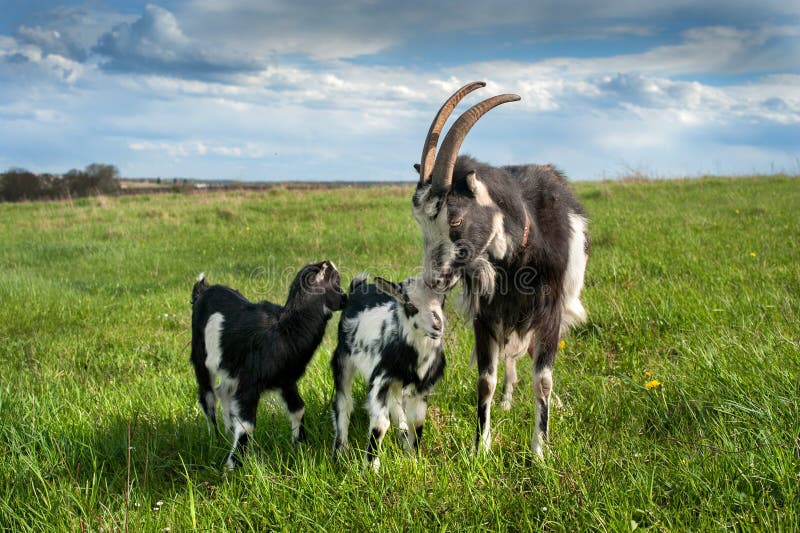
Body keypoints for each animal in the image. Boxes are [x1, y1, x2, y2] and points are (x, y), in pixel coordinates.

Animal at [190, 261, 346, 468]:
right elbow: (247, 425)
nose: (346, 298)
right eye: (337, 281)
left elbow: (298, 409)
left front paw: (300, 445)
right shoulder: (250, 383)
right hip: (201, 359)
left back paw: (227, 432)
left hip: (231, 368)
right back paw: (214, 439)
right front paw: (234, 463)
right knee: (207, 397)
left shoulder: (286, 380)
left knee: (223, 391)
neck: (285, 329)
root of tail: (203, 290)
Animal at [330, 275, 445, 470]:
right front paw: (371, 468)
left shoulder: (422, 387)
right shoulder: (381, 380)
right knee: (343, 403)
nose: (437, 326)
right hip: (343, 359)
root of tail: (358, 286)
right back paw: (341, 451)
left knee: (397, 409)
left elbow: (417, 422)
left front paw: (413, 461)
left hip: (396, 384)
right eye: (410, 304)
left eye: (442, 299)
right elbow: (380, 424)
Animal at [411, 81, 588, 458]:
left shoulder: (550, 309)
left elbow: (543, 379)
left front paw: (540, 451)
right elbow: (485, 380)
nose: (433, 281)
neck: (520, 255)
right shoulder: (488, 314)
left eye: (455, 219)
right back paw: (508, 400)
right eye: (421, 223)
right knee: (510, 355)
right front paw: (481, 448)